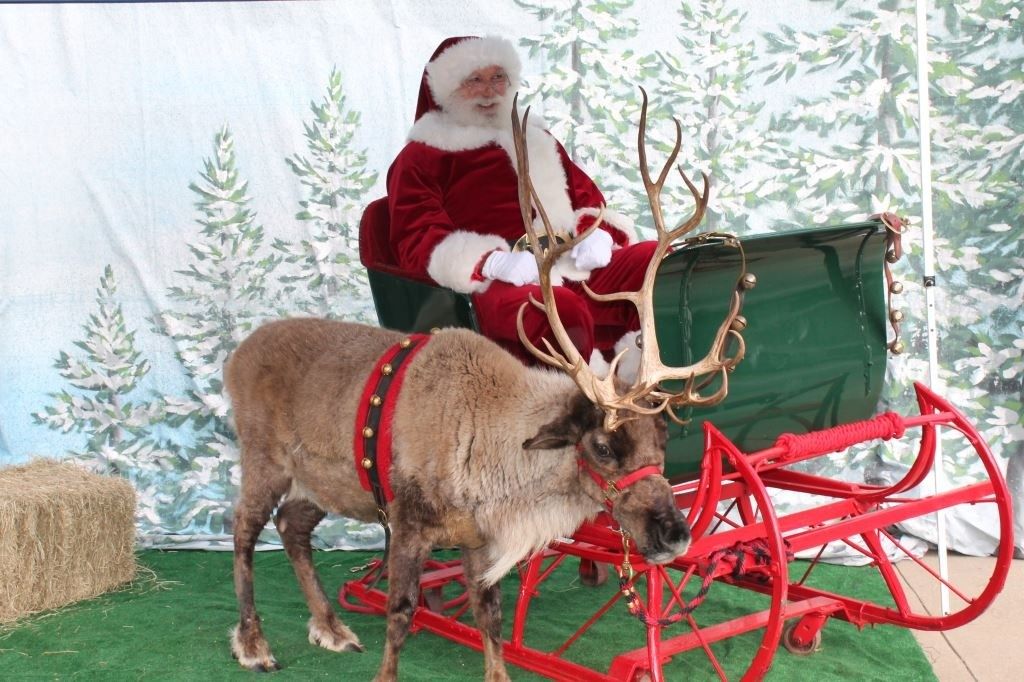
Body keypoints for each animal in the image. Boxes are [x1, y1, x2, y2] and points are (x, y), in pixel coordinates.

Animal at [223, 90, 750, 681]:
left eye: (661, 440)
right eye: (602, 445)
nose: (675, 534)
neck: (498, 461)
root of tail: (236, 355)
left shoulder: (480, 539)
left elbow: (489, 613)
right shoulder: (407, 522)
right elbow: (401, 612)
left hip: (320, 481)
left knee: (292, 527)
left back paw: (331, 627)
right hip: (264, 459)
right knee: (243, 529)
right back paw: (254, 642)